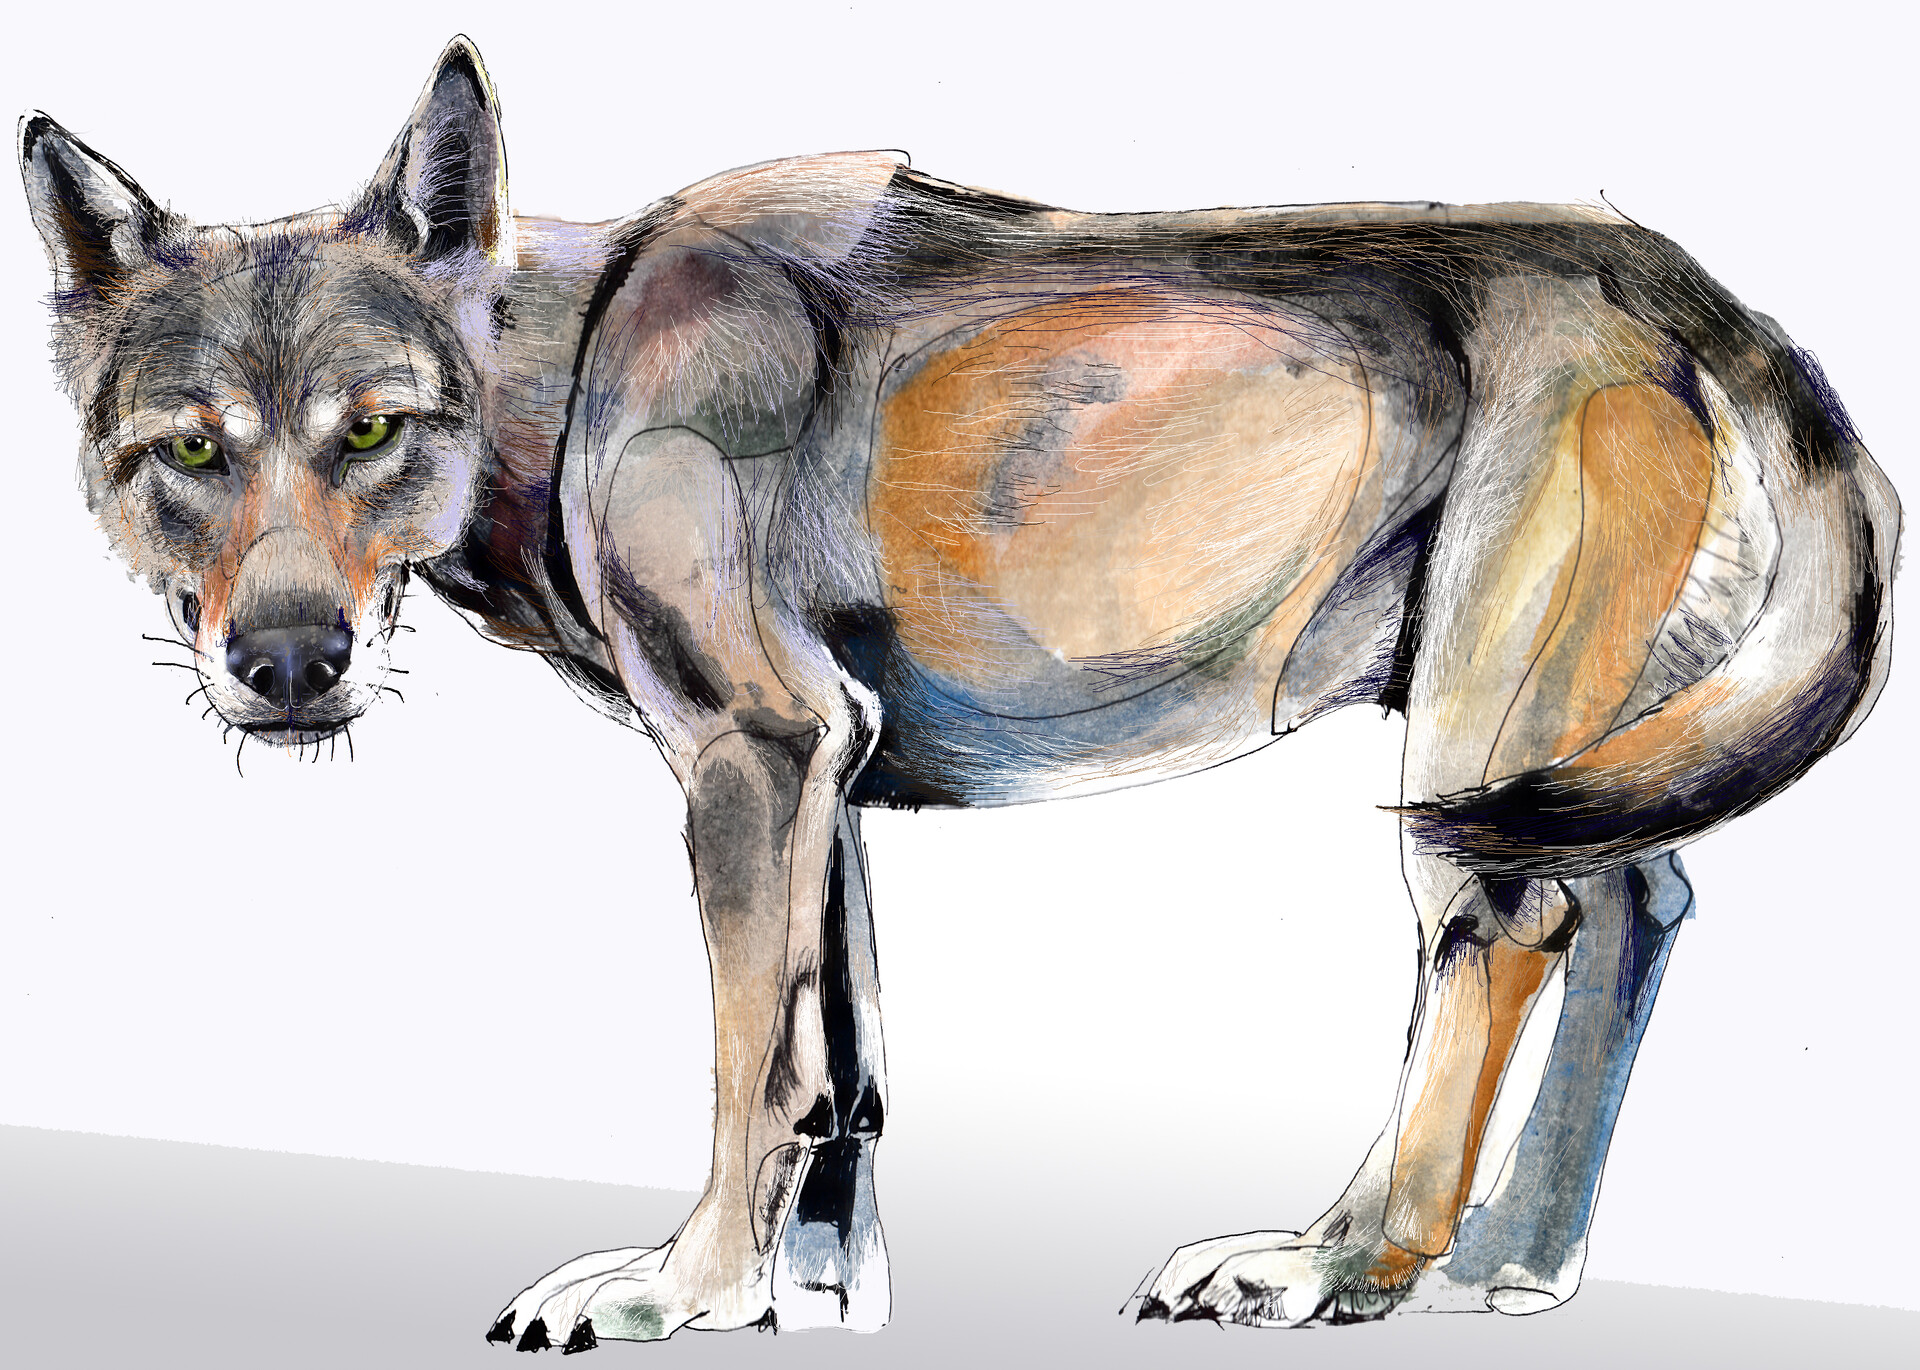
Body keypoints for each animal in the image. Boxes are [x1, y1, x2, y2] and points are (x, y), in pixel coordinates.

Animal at [19, 35, 1899, 1351]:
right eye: (190, 454)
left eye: (372, 429)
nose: (286, 665)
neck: (566, 355)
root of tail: (1695, 286)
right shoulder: (825, 786)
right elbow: (836, 1076)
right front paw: (816, 1301)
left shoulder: (756, 757)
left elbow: (748, 1067)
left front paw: (680, 1291)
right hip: (1569, 751)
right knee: (1641, 904)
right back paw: (1519, 1255)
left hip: (1471, 754)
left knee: (1507, 938)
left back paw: (1345, 1259)